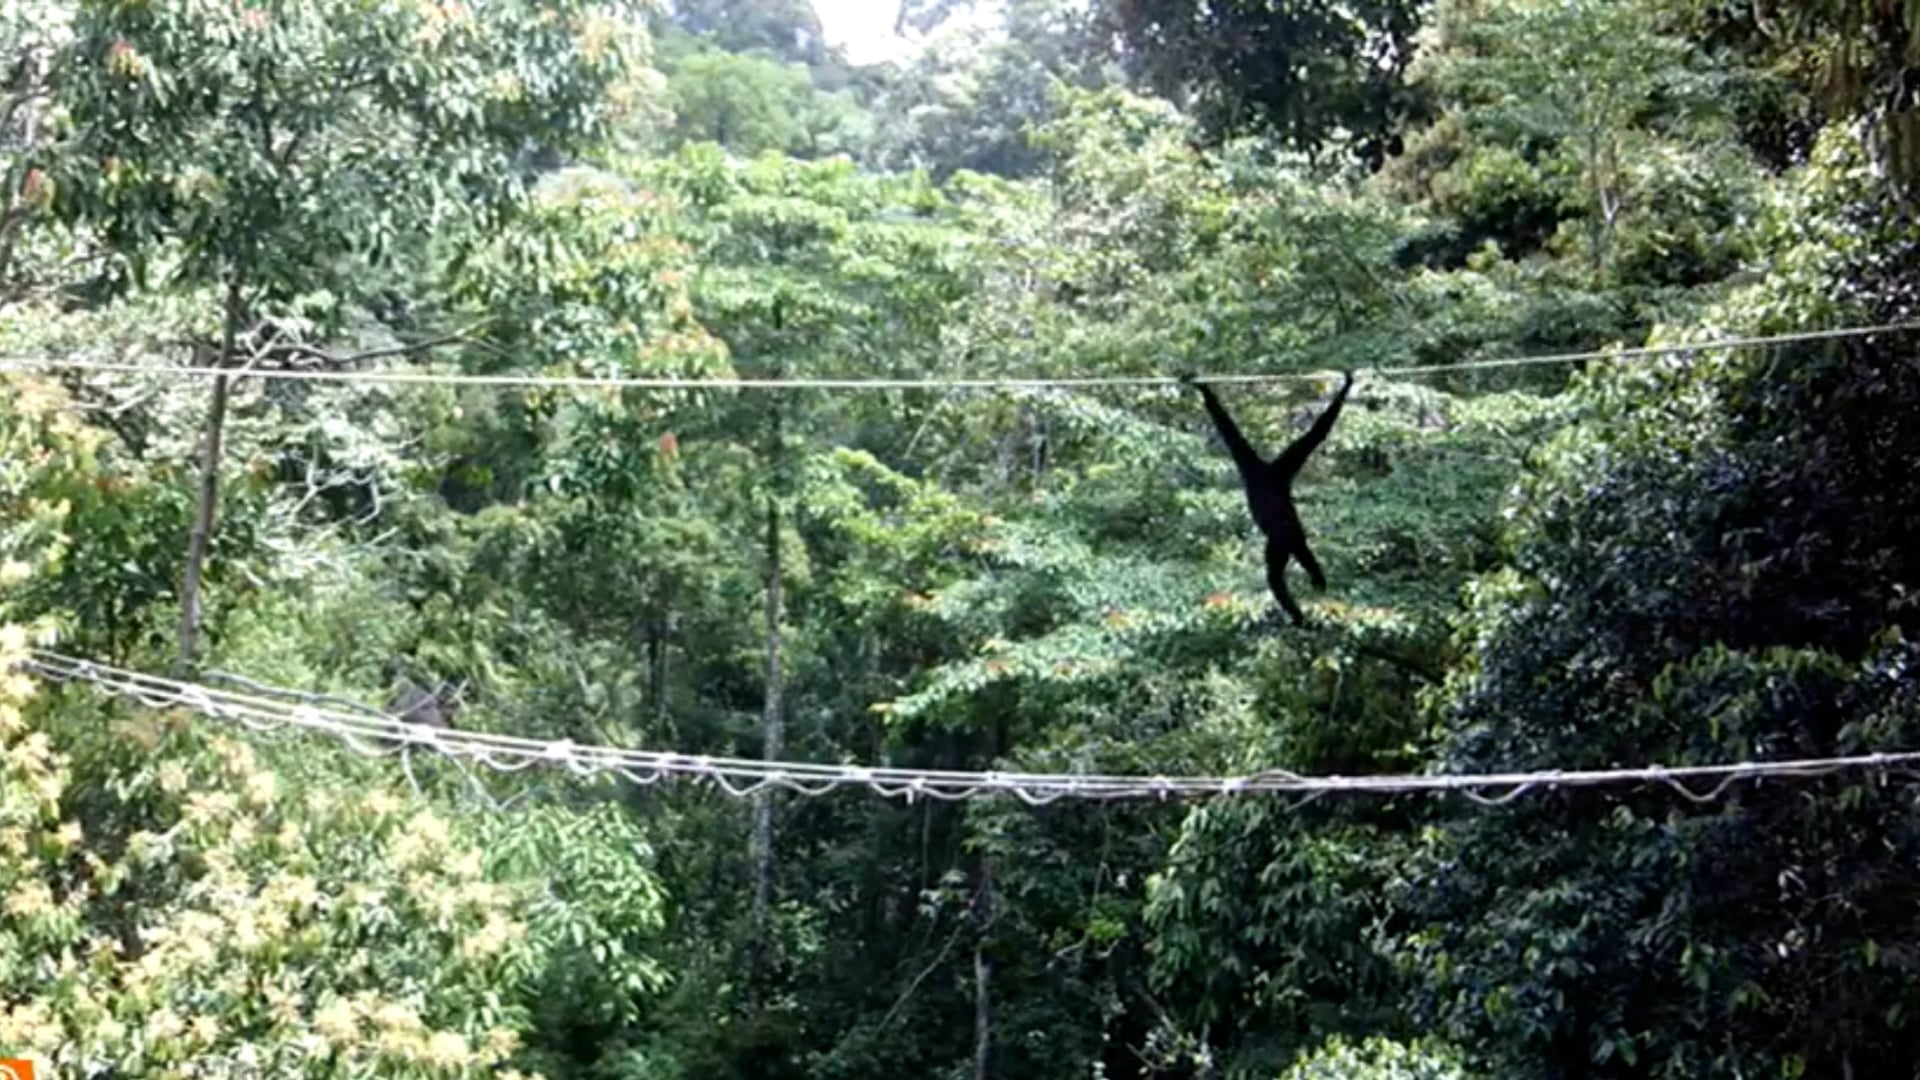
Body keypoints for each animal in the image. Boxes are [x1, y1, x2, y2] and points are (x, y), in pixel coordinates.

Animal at [1181, 370, 1355, 627]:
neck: (1267, 473)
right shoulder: (1284, 466)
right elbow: (1313, 437)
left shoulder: (1253, 466)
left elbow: (1229, 430)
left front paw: (1202, 389)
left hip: (1283, 540)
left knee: (1278, 572)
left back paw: (1305, 601)